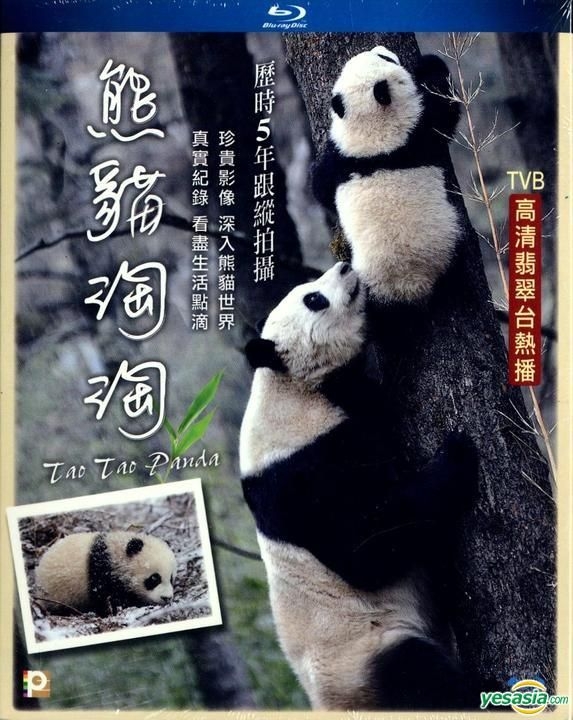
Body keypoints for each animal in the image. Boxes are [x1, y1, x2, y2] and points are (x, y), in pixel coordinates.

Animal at [35, 531, 177, 617]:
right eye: (154, 578)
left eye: (171, 579)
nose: (167, 598)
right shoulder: (102, 572)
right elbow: (107, 598)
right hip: (59, 593)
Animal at [240, 262, 479, 710]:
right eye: (313, 299)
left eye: (309, 287)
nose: (344, 265)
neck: (294, 387)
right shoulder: (299, 475)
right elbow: (364, 554)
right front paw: (454, 455)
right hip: (363, 659)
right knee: (419, 675)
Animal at [312, 46, 461, 304]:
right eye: (384, 58)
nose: (380, 48)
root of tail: (409, 286)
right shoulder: (418, 132)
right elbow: (445, 108)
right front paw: (427, 64)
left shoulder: (344, 160)